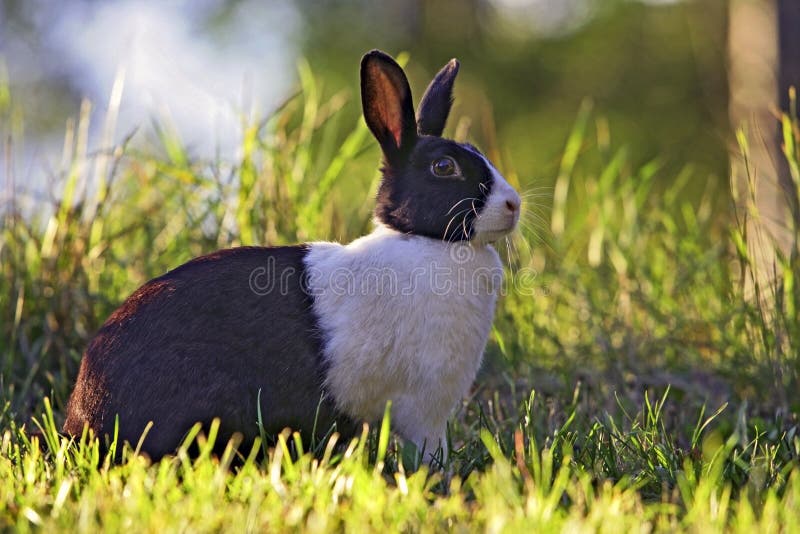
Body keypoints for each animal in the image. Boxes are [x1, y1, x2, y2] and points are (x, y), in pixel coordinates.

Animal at [63, 50, 521, 462]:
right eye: (445, 167)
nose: (514, 204)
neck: (426, 241)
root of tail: (86, 417)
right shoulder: (423, 406)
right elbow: (426, 448)